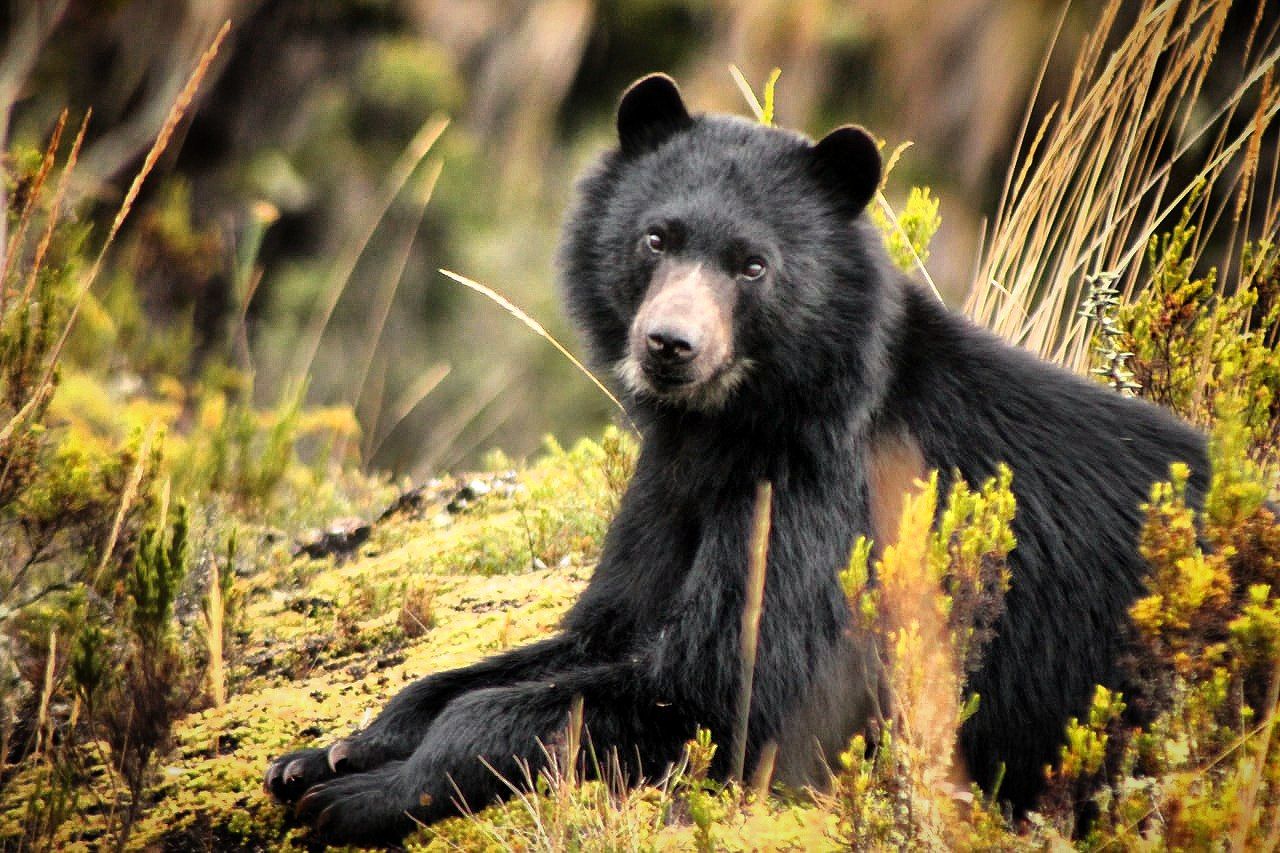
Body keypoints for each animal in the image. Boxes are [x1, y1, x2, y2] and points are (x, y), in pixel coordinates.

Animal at [264, 73, 1209, 846]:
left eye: (752, 265)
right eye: (656, 238)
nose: (668, 345)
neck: (731, 425)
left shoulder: (824, 503)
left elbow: (727, 683)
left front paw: (363, 795)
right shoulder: (667, 489)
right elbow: (585, 634)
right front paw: (325, 753)